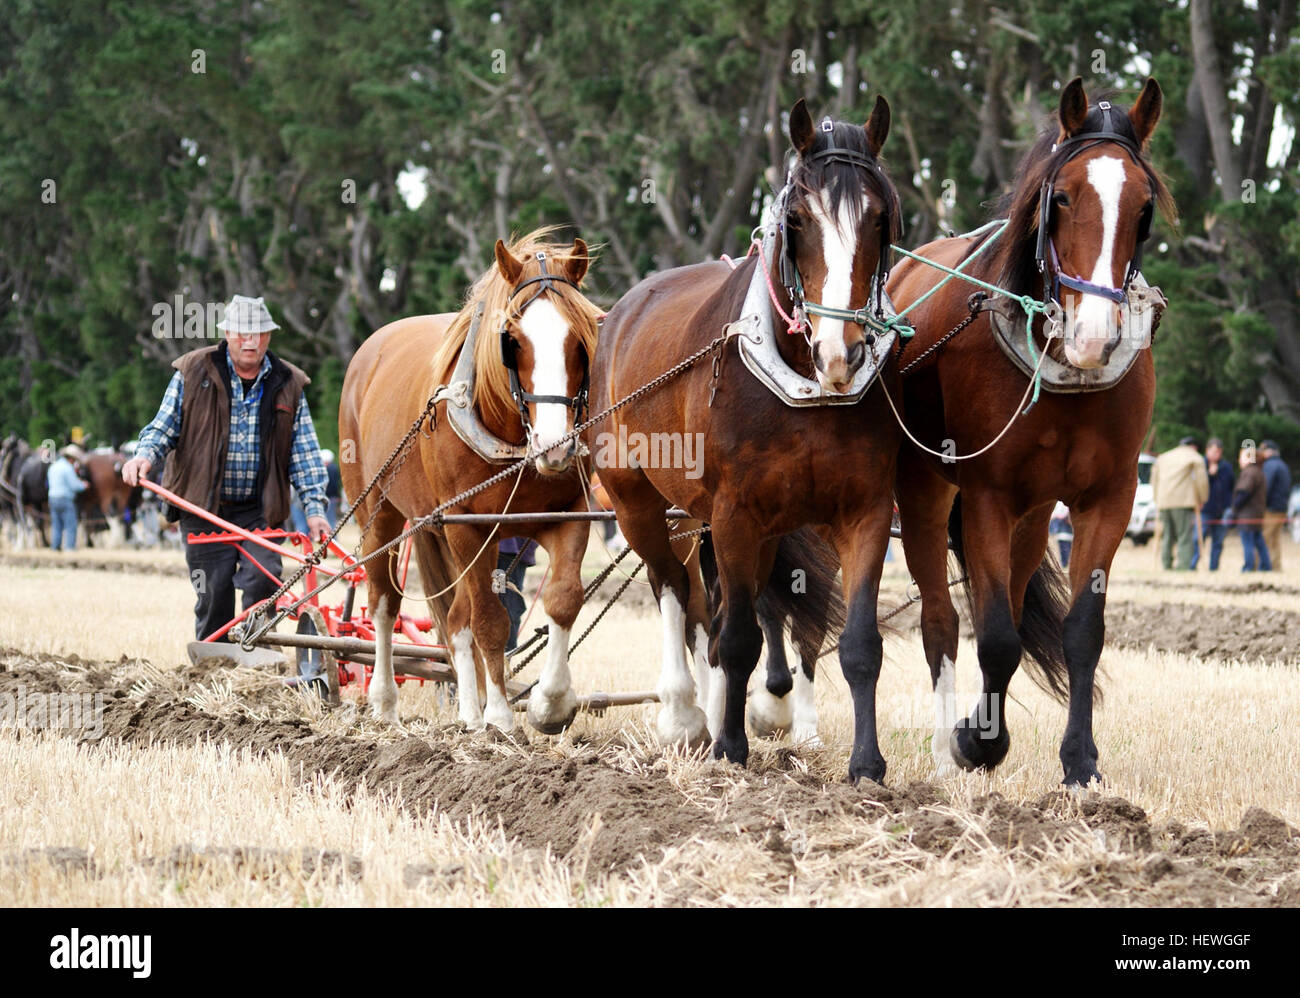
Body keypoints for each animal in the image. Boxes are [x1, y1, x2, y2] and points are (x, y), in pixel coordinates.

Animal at [339, 229, 602, 732]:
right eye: (511, 340)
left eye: (581, 339)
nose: (555, 446)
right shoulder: (467, 526)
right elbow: (490, 621)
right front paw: (500, 715)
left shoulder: (570, 513)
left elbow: (563, 599)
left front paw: (549, 704)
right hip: (378, 512)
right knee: (384, 603)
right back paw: (384, 703)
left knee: (456, 616)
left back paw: (467, 711)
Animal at [590, 97, 904, 781]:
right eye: (798, 219)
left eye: (879, 217)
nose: (840, 353)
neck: (806, 389)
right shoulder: (735, 512)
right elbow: (735, 639)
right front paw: (730, 747)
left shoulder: (862, 512)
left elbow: (859, 643)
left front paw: (866, 764)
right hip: (639, 504)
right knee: (674, 590)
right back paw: (686, 717)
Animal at [885, 78, 1175, 786]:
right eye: (1062, 195)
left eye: (1143, 207)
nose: (1094, 337)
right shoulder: (986, 495)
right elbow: (992, 636)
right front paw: (976, 743)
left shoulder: (1108, 497)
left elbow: (1081, 631)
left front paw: (1080, 763)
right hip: (927, 493)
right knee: (941, 621)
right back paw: (944, 751)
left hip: (1036, 513)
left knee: (1011, 604)